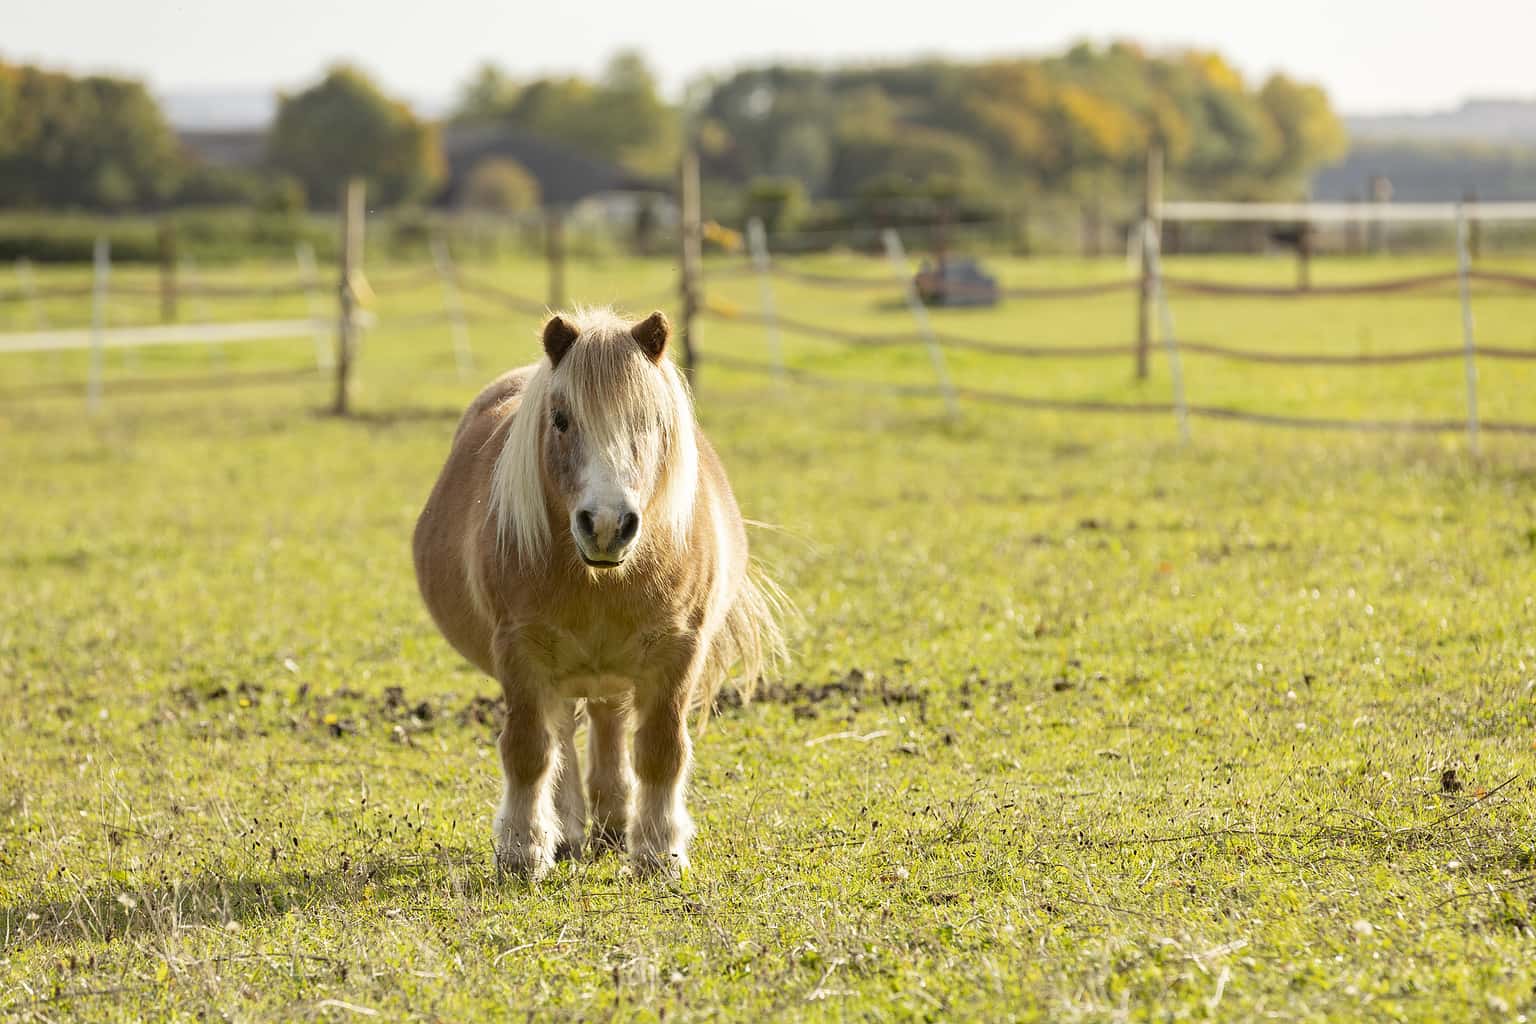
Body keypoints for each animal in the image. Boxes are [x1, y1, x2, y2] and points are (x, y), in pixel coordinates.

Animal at [412, 307, 783, 880]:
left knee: (608, 724)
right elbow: (529, 750)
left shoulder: (678, 652)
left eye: (650, 422)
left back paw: (612, 825)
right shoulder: (519, 652)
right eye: (562, 419)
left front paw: (658, 852)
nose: (607, 525)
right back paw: (567, 831)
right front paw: (522, 852)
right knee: (562, 736)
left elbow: (661, 749)